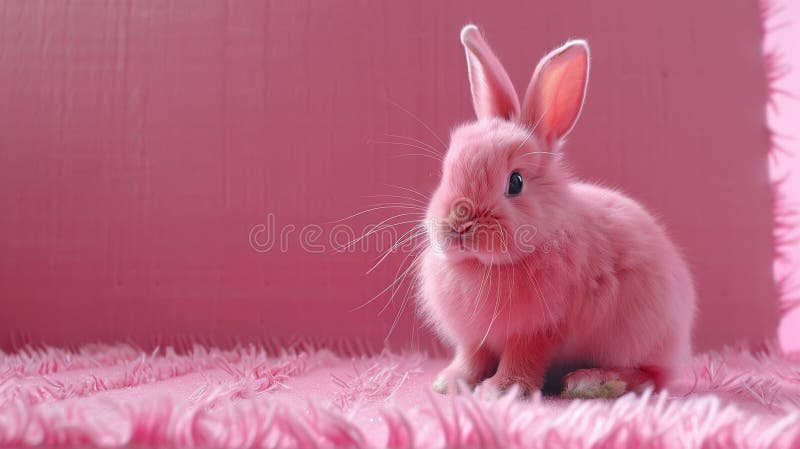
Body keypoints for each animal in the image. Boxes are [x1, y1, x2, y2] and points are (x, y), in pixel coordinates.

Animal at [417, 25, 696, 398]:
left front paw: (501, 390)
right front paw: (450, 382)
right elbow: (472, 357)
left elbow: (522, 357)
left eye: (516, 182)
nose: (458, 223)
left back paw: (592, 382)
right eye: (446, 171)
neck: (486, 266)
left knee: (650, 375)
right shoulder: (476, 338)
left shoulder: (539, 329)